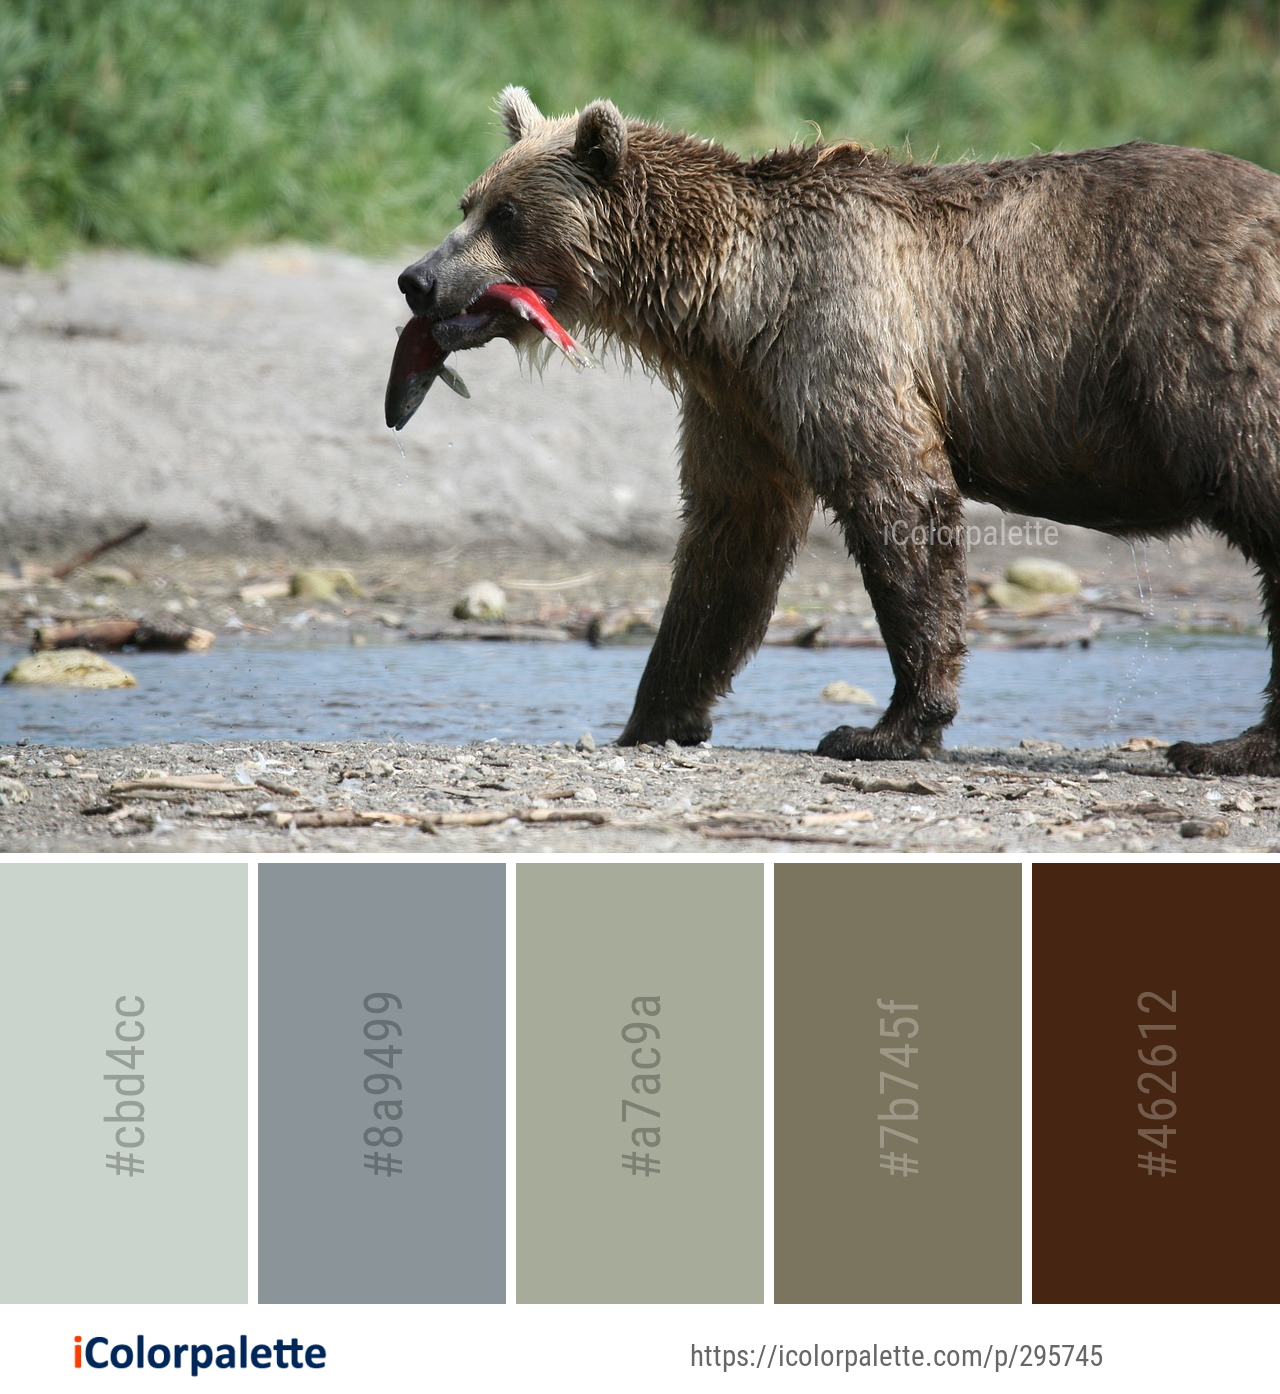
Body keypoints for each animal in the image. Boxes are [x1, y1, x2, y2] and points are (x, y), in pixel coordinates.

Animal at [396, 86, 1280, 776]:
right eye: (469, 202)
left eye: (506, 213)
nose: (417, 278)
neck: (729, 304)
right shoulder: (742, 401)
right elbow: (729, 543)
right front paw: (653, 716)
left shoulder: (840, 331)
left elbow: (899, 502)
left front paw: (883, 728)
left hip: (1205, 346)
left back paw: (1229, 746)